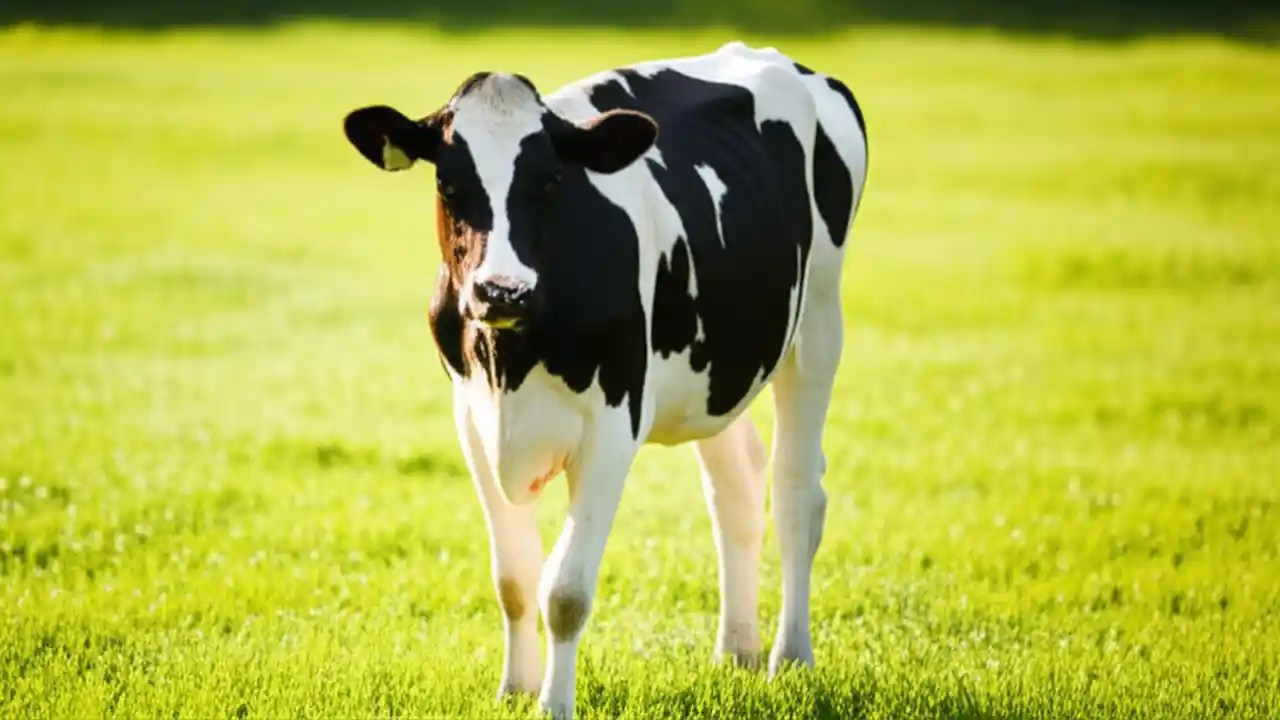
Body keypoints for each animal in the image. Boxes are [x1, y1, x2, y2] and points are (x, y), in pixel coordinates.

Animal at [342, 42, 868, 718]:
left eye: (550, 180)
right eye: (447, 182)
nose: (501, 290)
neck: (510, 359)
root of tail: (780, 59)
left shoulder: (614, 425)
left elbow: (564, 591)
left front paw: (553, 705)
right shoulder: (472, 420)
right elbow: (514, 578)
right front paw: (515, 690)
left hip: (818, 325)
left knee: (798, 492)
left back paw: (790, 657)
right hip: (716, 364)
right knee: (738, 487)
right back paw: (736, 652)